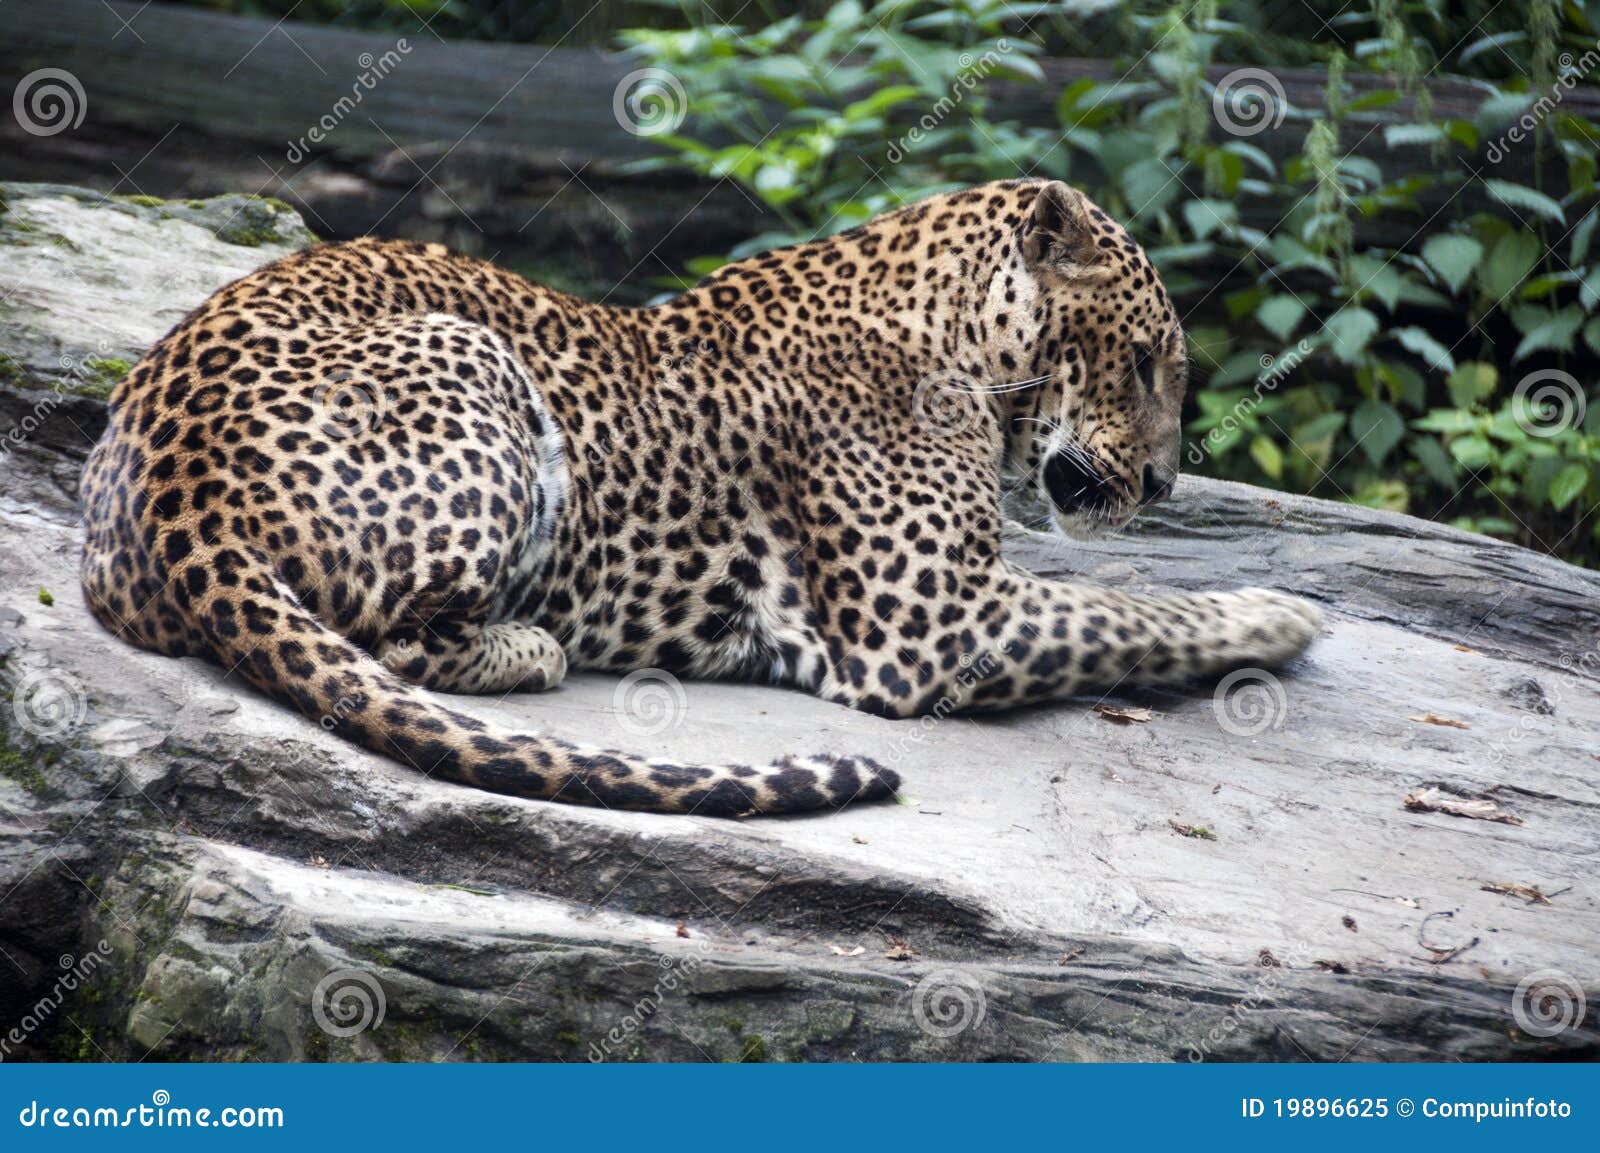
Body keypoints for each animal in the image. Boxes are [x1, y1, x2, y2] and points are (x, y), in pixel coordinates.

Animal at [79, 178, 1323, 817]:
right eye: (1147, 361)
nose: (1163, 480)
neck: (959, 332)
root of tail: (178, 497)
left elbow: (1115, 595)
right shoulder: (930, 626)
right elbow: (1132, 613)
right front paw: (1278, 614)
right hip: (468, 352)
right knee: (391, 643)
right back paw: (534, 644)